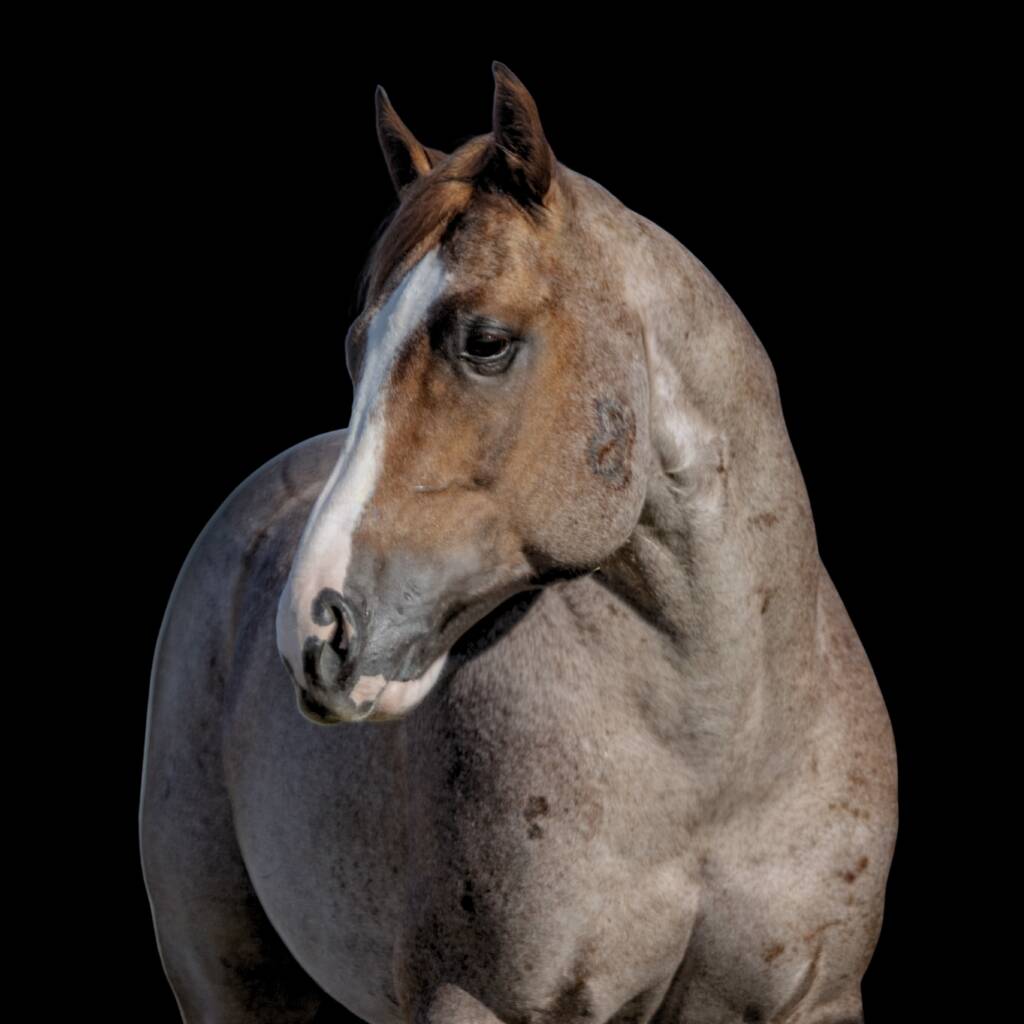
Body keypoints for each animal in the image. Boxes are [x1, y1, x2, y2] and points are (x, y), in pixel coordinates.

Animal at [139, 61, 898, 1024]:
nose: (315, 630)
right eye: (357, 348)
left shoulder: (816, 999)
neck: (714, 753)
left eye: (487, 342)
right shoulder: (479, 1001)